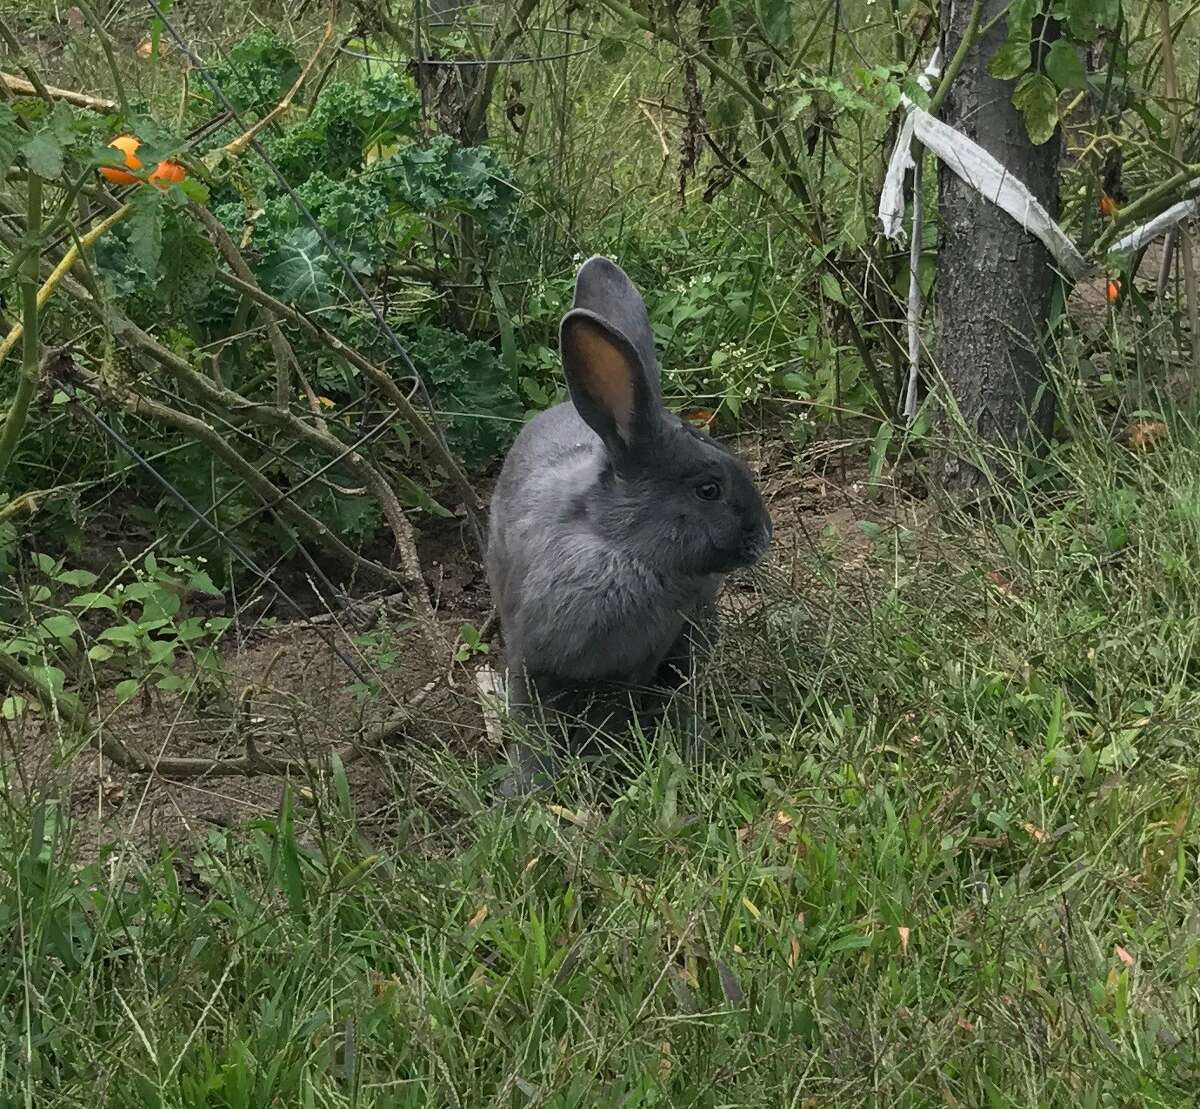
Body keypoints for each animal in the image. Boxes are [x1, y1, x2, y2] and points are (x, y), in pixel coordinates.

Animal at [486, 256, 771, 794]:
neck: (622, 548)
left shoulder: (660, 654)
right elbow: (532, 725)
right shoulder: (530, 662)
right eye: (708, 490)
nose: (763, 536)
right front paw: (527, 790)